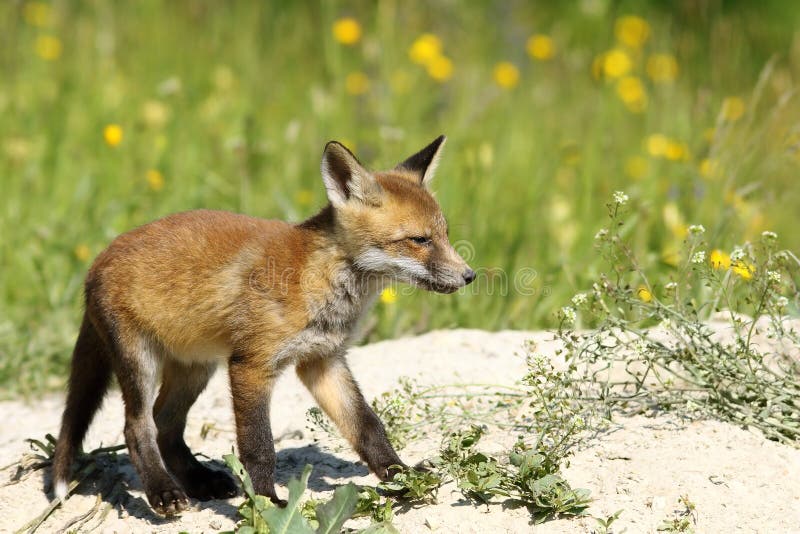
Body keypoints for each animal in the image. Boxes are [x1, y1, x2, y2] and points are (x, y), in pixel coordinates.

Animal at [51, 135, 476, 516]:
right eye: (419, 240)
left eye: (445, 235)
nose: (469, 276)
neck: (318, 280)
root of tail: (98, 259)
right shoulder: (251, 365)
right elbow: (259, 446)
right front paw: (266, 502)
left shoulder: (324, 360)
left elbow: (367, 426)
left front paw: (400, 476)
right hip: (140, 362)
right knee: (137, 428)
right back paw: (163, 492)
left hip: (195, 368)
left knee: (165, 425)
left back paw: (199, 481)